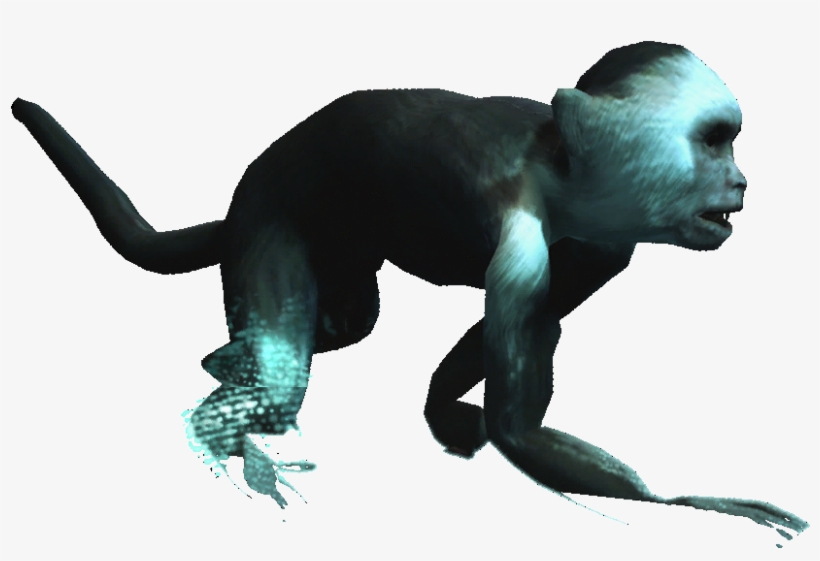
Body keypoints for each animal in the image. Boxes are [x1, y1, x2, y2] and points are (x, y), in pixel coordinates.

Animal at [11, 41, 809, 539]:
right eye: (714, 139)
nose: (742, 181)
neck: (564, 174)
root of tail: (248, 185)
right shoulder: (523, 242)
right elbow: (519, 425)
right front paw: (714, 504)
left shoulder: (602, 248)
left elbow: (521, 343)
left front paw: (443, 407)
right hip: (271, 209)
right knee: (283, 377)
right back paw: (224, 424)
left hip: (340, 250)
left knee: (349, 322)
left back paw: (225, 360)